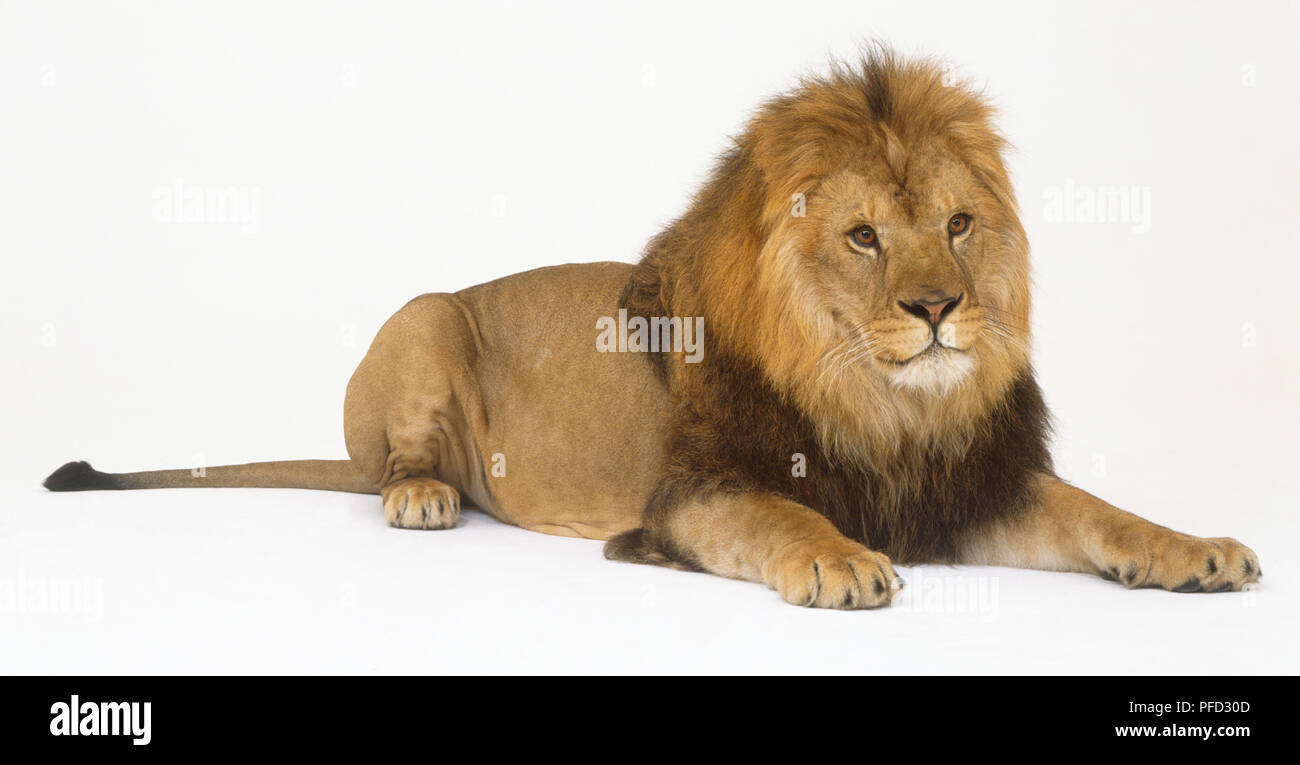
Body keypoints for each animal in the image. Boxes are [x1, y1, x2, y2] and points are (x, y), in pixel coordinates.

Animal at [44, 48, 1260, 608]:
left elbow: (1100, 510)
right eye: (865, 238)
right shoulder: (694, 497)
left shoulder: (967, 488)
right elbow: (782, 517)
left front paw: (1197, 549)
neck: (884, 403)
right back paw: (424, 494)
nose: (938, 308)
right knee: (393, 461)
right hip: (426, 316)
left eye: (959, 225)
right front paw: (839, 561)